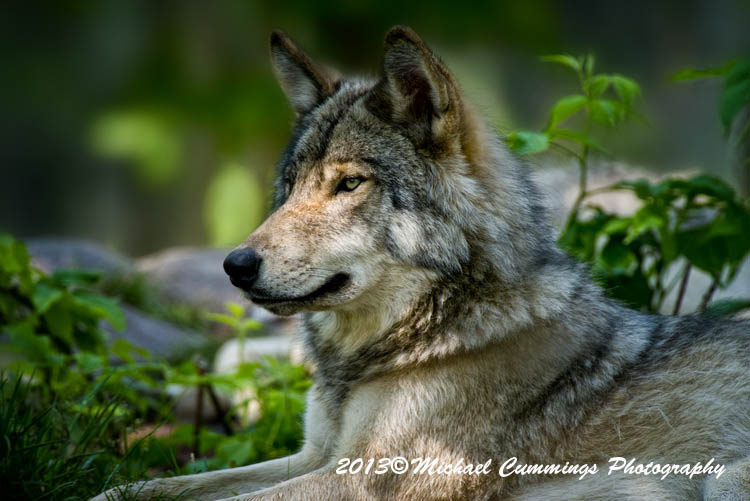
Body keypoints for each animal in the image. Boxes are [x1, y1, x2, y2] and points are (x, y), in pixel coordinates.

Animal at [95, 26, 750, 500]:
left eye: (349, 183)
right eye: (290, 185)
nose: (235, 265)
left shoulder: (364, 478)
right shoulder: (313, 454)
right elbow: (144, 487)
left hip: (719, 482)